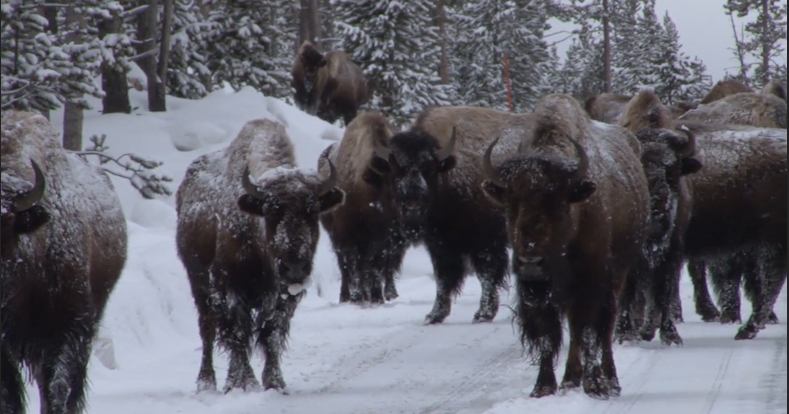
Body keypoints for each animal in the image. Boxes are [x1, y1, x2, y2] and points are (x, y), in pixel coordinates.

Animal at [175, 118, 345, 393]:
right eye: (271, 210)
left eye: (312, 210)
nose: (294, 268)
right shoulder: (230, 289)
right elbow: (238, 333)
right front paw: (240, 383)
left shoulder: (283, 297)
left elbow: (271, 332)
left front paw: (275, 382)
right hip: (198, 284)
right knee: (207, 329)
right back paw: (206, 383)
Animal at [481, 94, 651, 398]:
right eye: (510, 205)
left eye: (560, 203)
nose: (531, 262)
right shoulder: (537, 290)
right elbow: (549, 334)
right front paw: (543, 387)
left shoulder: (592, 280)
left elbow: (588, 330)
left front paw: (595, 385)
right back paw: (571, 379)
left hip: (618, 276)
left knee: (604, 328)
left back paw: (610, 381)